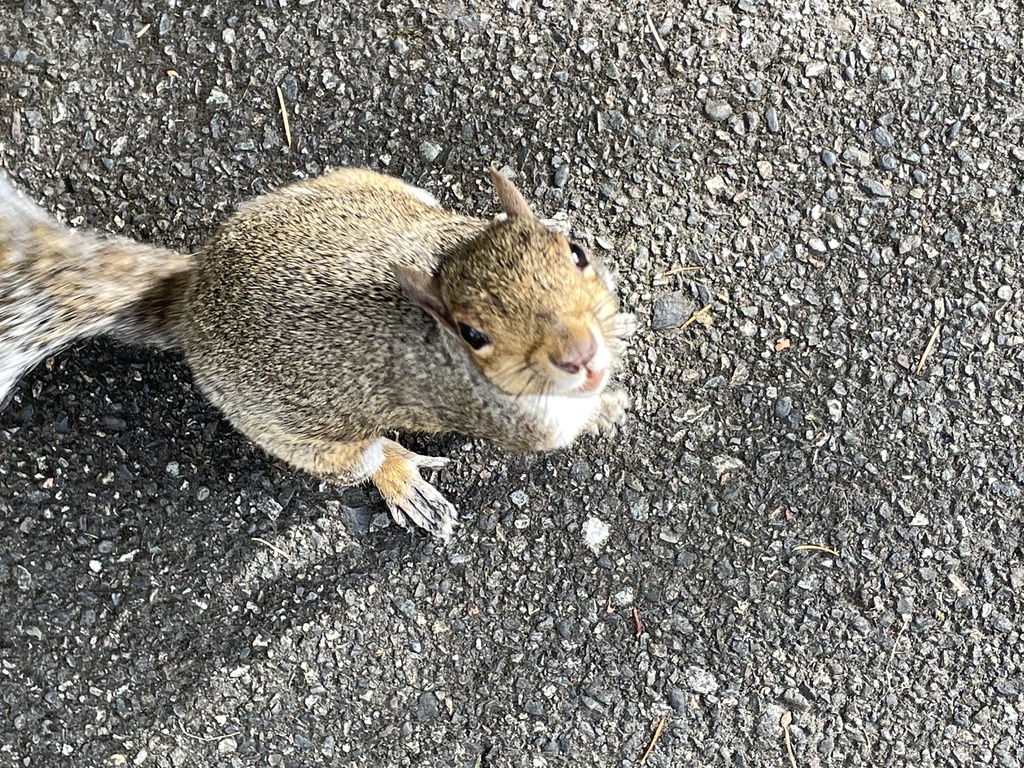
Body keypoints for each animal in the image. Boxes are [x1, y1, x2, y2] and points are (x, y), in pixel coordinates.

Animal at [0, 165, 635, 538]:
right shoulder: (515, 421)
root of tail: (193, 295)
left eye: (577, 252)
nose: (580, 353)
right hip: (309, 440)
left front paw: (620, 333)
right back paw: (403, 479)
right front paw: (603, 409)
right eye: (472, 334)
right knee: (367, 460)